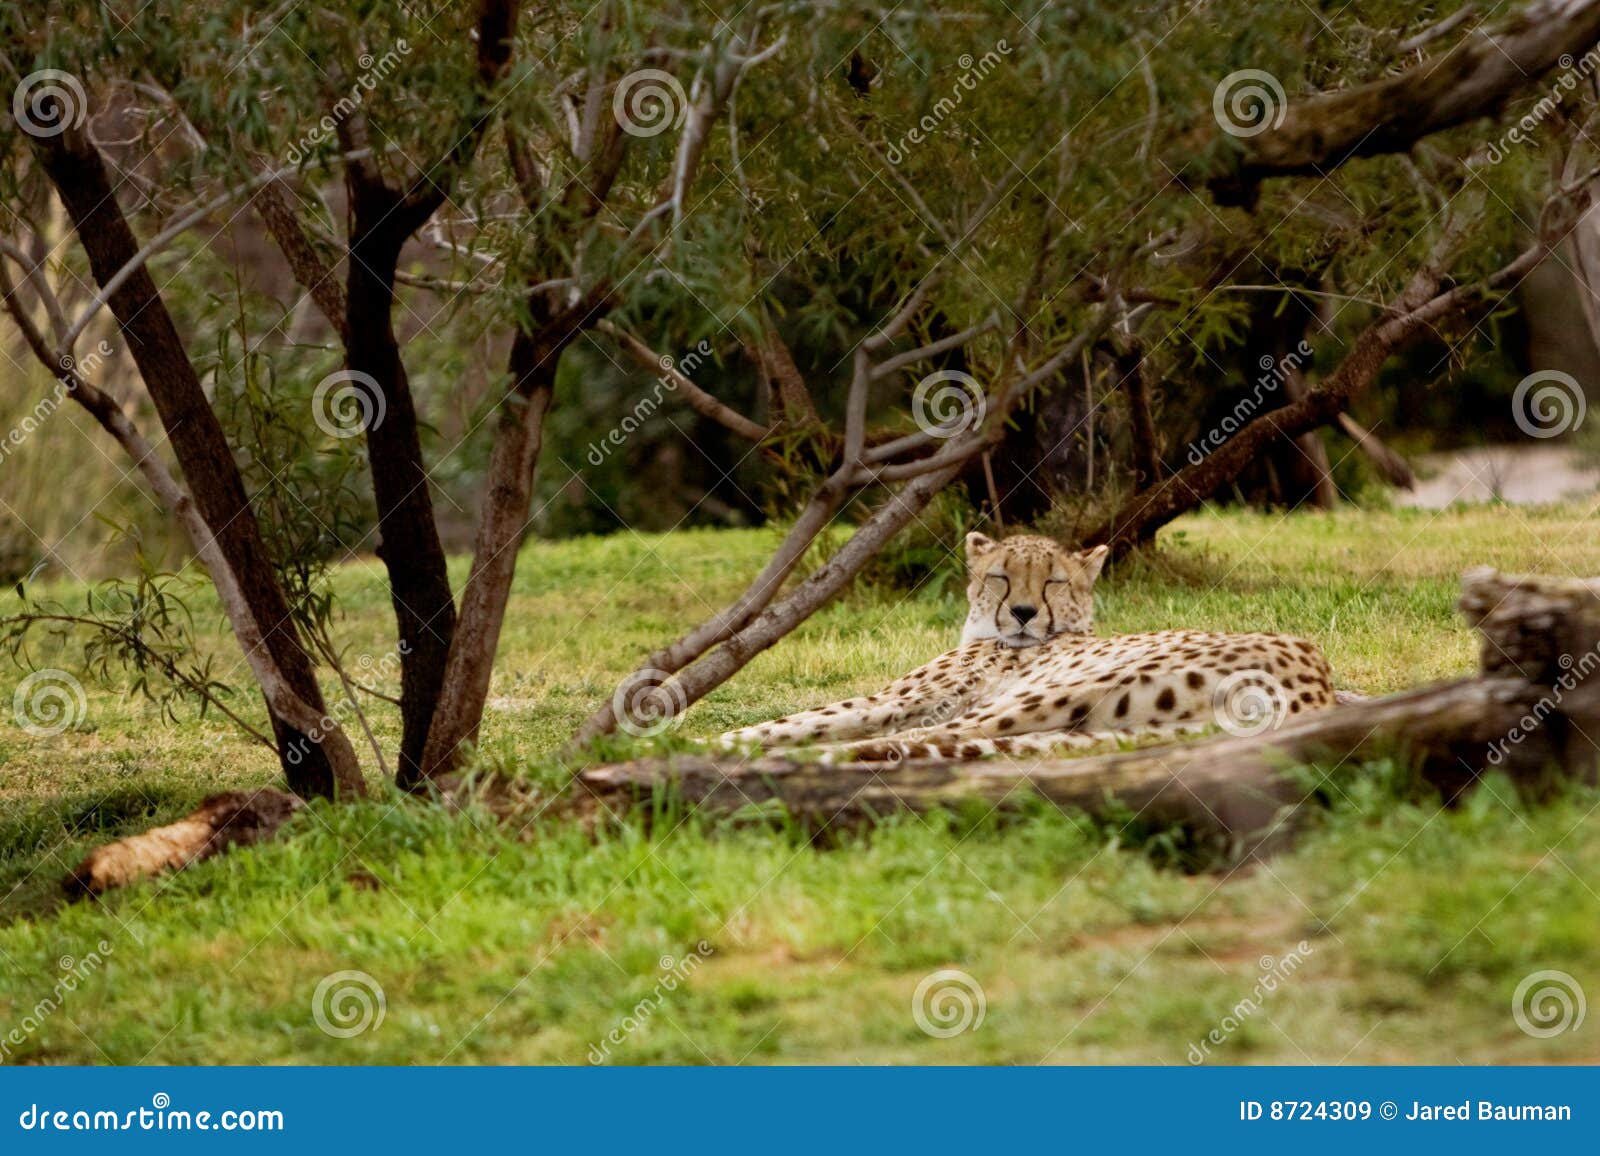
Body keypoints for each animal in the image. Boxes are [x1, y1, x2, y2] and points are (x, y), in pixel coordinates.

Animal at [717, 531, 1341, 762]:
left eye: (1052, 582)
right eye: (1001, 576)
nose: (1022, 613)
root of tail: (1317, 681)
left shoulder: (890, 702)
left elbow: (793, 720)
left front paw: (708, 739)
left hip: (1061, 692)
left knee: (929, 738)